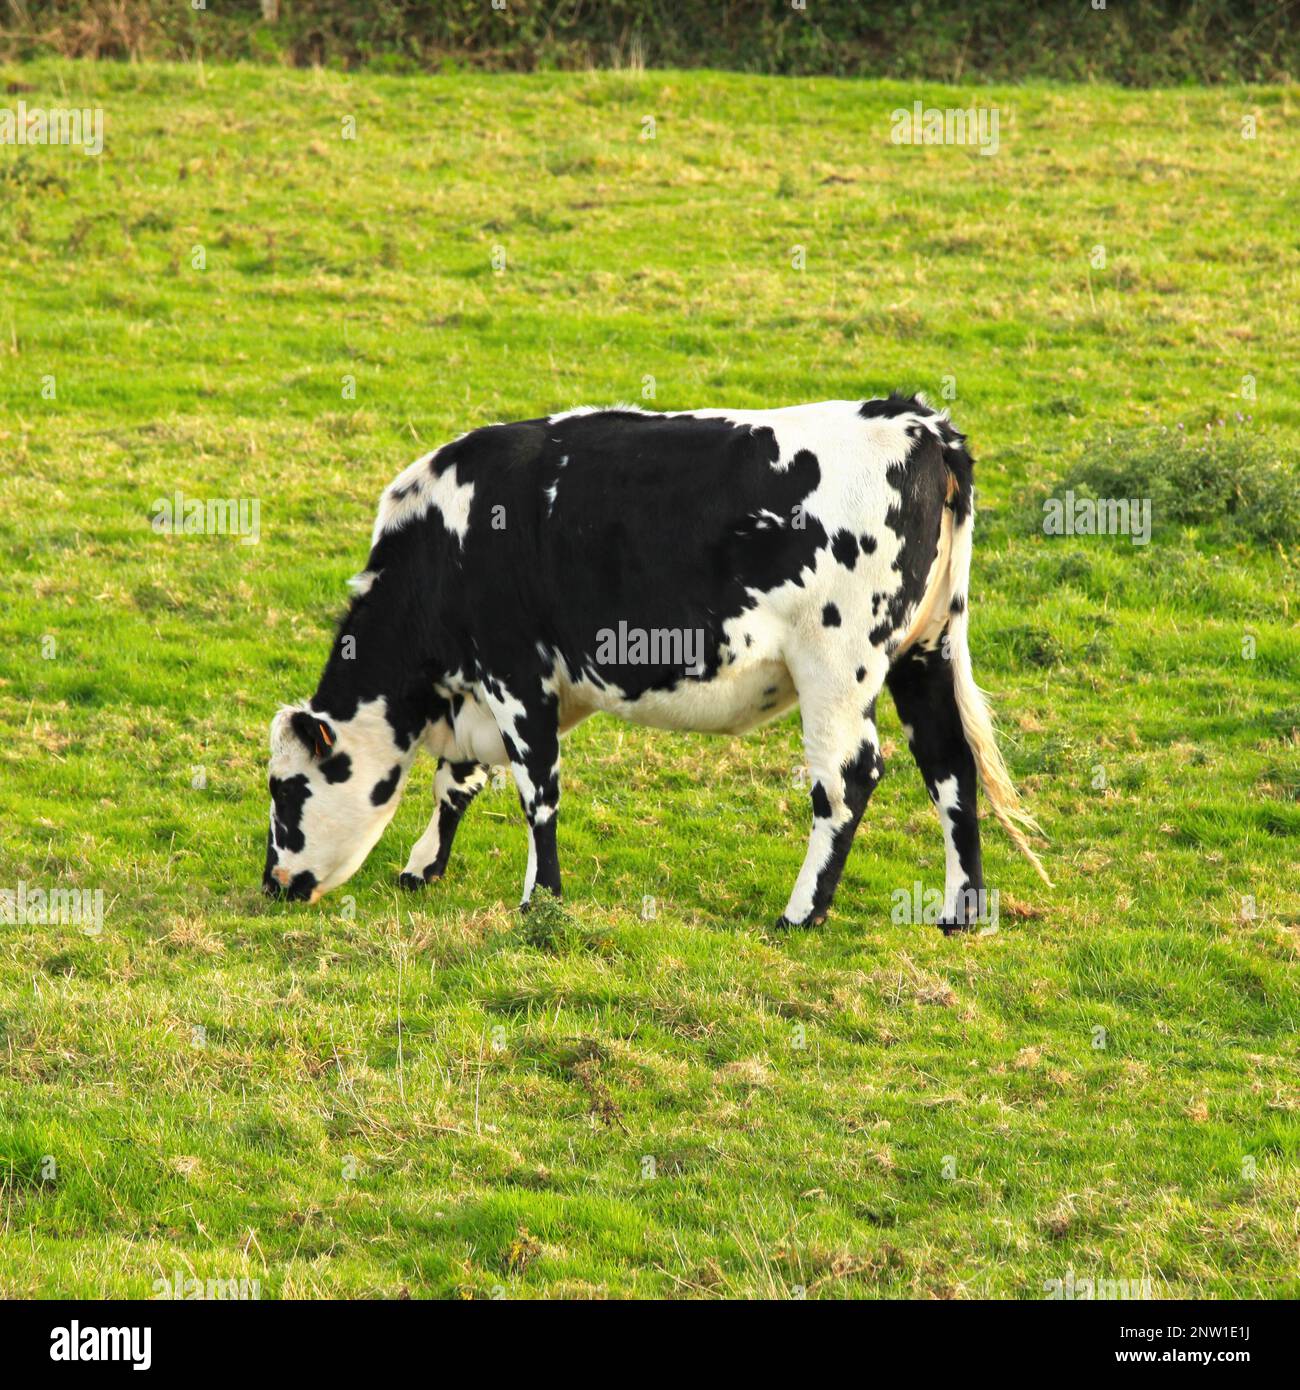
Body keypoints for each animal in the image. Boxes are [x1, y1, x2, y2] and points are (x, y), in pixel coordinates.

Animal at [263, 395, 1049, 930]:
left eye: (287, 791)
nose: (273, 882)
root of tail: (918, 422)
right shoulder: (482, 694)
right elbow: (456, 782)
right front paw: (423, 867)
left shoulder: (516, 676)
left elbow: (535, 791)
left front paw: (540, 900)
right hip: (926, 649)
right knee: (950, 766)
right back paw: (959, 911)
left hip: (838, 664)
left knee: (847, 779)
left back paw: (801, 913)